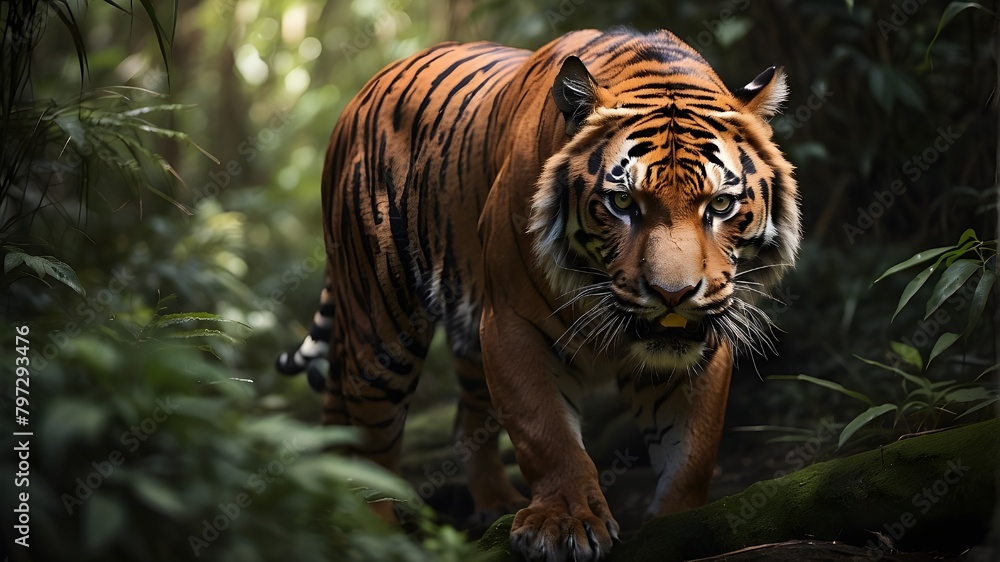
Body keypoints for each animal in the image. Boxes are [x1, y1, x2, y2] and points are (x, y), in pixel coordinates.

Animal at [277, 27, 800, 562]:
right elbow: (545, 432)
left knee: (461, 421)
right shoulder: (512, 324)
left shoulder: (702, 344)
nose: (672, 295)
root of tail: (359, 95)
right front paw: (564, 523)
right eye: (622, 202)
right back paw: (373, 531)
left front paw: (678, 526)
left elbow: (693, 451)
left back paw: (493, 502)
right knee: (369, 434)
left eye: (720, 204)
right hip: (381, 324)